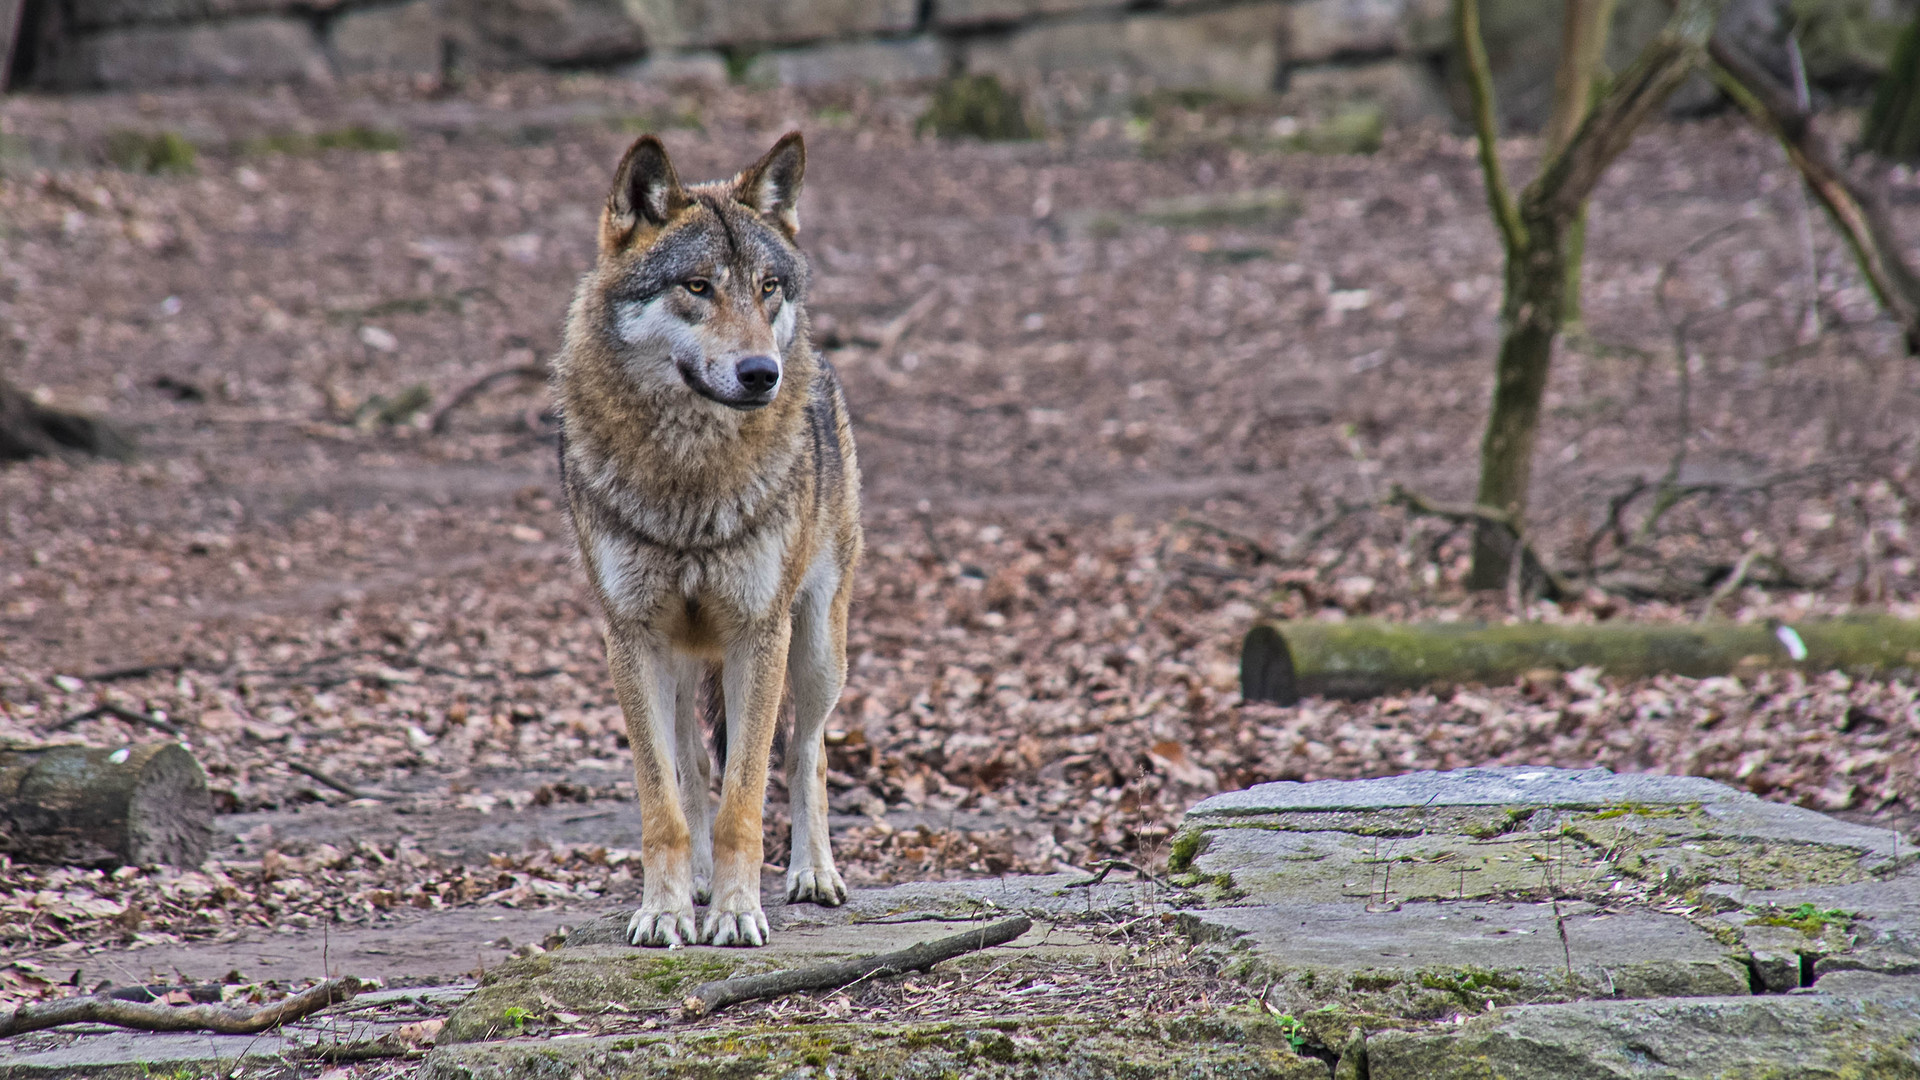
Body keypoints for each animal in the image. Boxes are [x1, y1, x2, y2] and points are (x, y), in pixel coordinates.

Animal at [552, 131, 861, 947]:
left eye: (767, 288)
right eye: (697, 287)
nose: (762, 373)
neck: (691, 474)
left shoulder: (760, 632)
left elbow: (745, 800)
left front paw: (737, 913)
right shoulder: (630, 637)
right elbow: (664, 802)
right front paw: (665, 912)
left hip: (817, 647)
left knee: (808, 751)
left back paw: (813, 875)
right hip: (685, 663)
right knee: (691, 765)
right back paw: (692, 883)